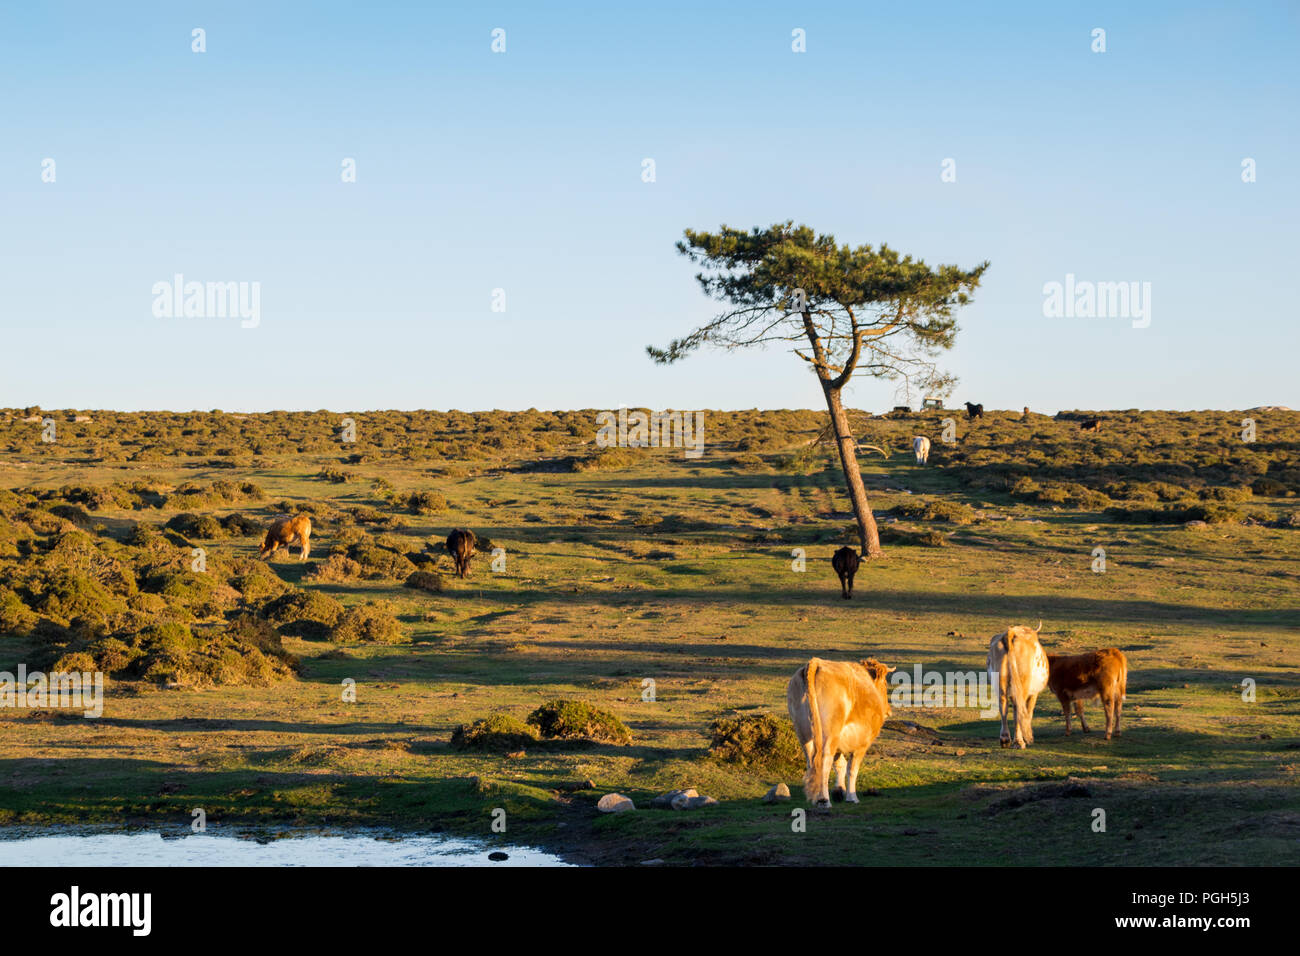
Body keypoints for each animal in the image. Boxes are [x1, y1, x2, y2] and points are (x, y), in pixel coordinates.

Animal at [787, 657, 896, 808]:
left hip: (803, 733)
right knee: (824, 762)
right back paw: (824, 800)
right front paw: (852, 796)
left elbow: (840, 766)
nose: (888, 711)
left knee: (812, 762)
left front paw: (839, 790)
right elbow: (852, 769)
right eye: (885, 683)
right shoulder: (862, 744)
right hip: (829, 735)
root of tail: (816, 662)